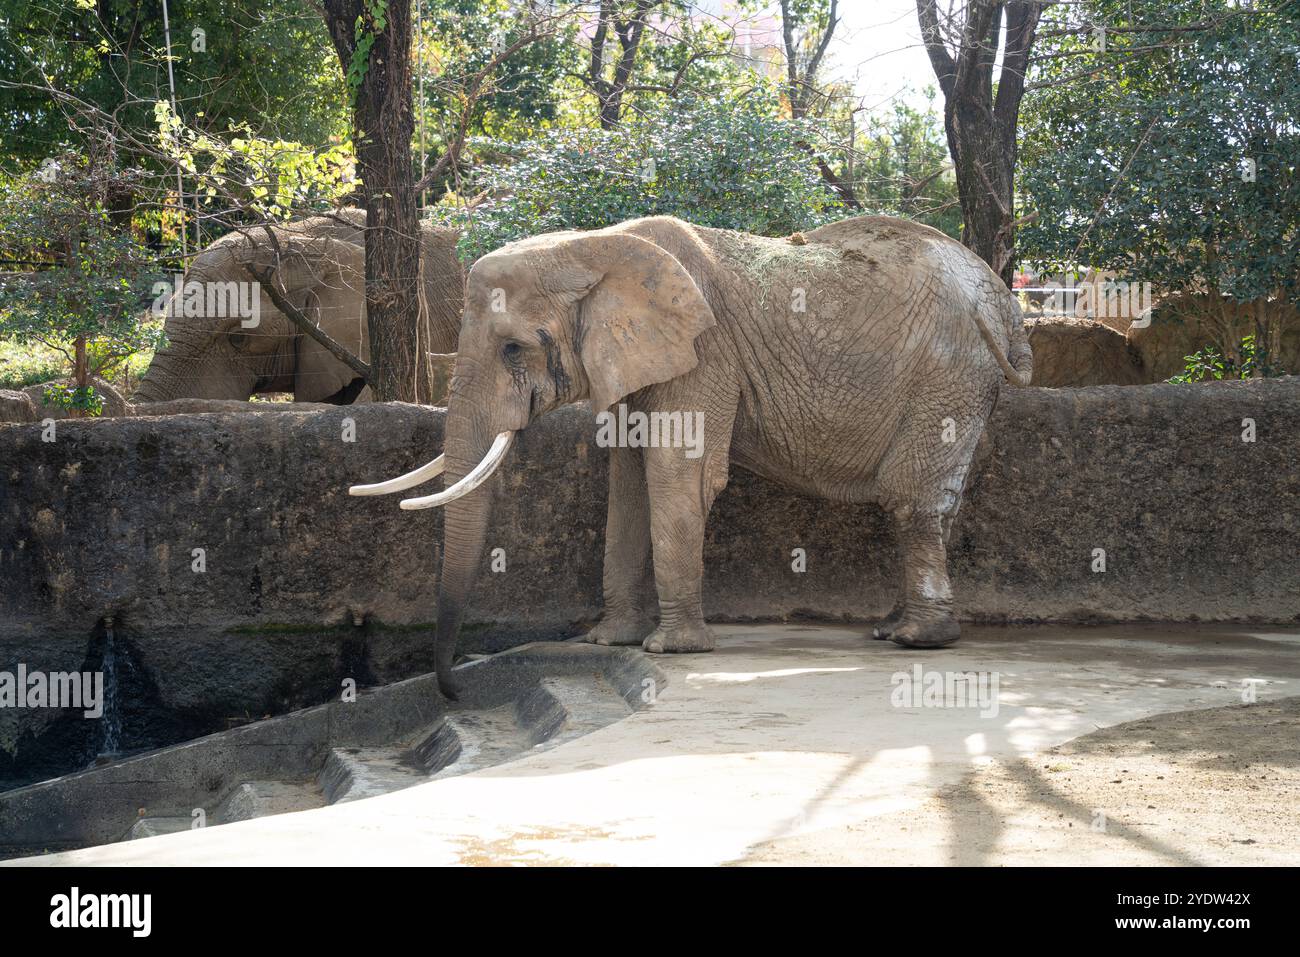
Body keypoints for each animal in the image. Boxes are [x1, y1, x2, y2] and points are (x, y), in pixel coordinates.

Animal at [351, 214, 1032, 697]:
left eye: (514, 349)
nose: (453, 690)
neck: (593, 247)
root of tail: (1004, 302)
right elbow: (628, 478)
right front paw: (610, 641)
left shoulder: (704, 352)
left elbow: (677, 475)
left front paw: (671, 651)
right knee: (932, 502)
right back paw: (894, 627)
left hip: (949, 372)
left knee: (910, 497)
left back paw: (919, 640)